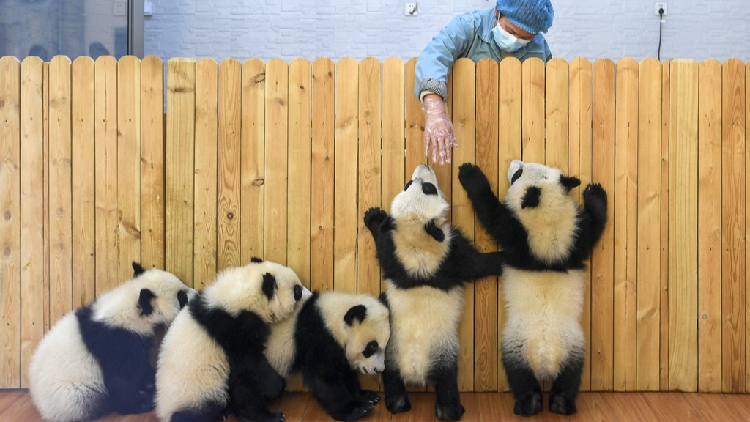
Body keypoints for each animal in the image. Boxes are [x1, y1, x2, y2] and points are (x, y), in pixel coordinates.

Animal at [28, 263, 195, 422]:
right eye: (181, 296)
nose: (196, 294)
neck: (128, 303)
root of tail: (39, 403)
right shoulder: (115, 340)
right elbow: (121, 377)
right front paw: (140, 403)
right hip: (72, 393)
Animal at [155, 257, 311, 422]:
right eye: (297, 291)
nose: (310, 294)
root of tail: (163, 413)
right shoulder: (231, 327)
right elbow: (250, 361)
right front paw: (278, 386)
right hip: (196, 391)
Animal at [264, 291, 390, 422]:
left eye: (385, 345)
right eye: (372, 346)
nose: (379, 369)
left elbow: (345, 372)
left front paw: (366, 396)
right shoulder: (317, 339)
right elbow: (324, 378)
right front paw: (357, 409)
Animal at [363, 164, 505, 421]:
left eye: (410, 185)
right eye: (428, 188)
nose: (424, 165)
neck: (416, 238)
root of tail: (414, 369)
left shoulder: (397, 256)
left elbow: (383, 244)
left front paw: (374, 218)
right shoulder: (448, 254)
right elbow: (476, 265)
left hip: (387, 355)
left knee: (392, 381)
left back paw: (397, 403)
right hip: (442, 356)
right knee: (447, 384)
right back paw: (451, 410)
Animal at [457, 160, 608, 417]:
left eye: (518, 174)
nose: (514, 163)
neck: (549, 220)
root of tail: (546, 357)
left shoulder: (521, 236)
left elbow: (493, 216)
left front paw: (471, 174)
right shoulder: (572, 240)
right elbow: (591, 230)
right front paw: (595, 195)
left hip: (517, 346)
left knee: (520, 377)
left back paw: (530, 403)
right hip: (574, 348)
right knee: (570, 378)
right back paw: (561, 403)